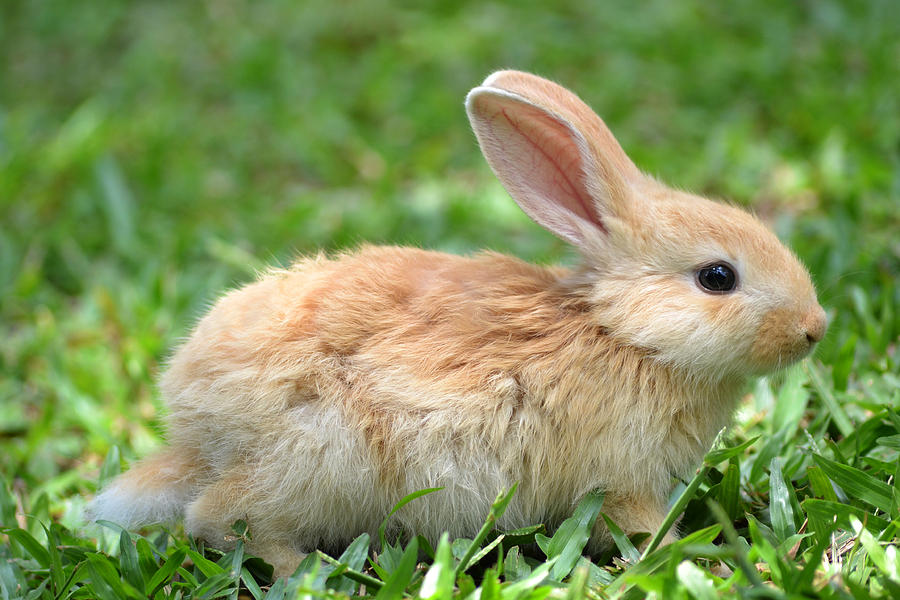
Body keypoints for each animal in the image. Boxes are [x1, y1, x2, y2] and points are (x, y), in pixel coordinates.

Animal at [90, 70, 827, 576]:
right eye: (717, 278)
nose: (814, 328)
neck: (625, 335)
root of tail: (193, 426)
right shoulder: (621, 481)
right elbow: (642, 529)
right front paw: (690, 558)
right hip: (318, 461)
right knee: (217, 518)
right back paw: (309, 570)